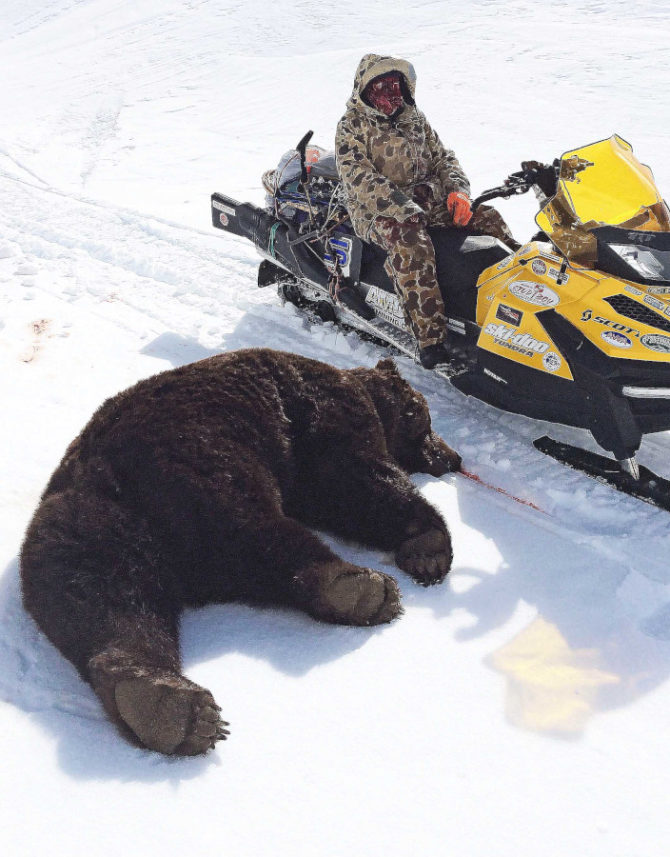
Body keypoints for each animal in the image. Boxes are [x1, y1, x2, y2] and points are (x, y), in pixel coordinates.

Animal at [20, 348, 461, 756]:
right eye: (426, 421)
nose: (454, 457)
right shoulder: (328, 413)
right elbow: (357, 477)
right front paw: (428, 549)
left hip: (80, 530)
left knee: (106, 600)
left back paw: (165, 705)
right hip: (206, 463)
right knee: (256, 529)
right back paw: (362, 589)